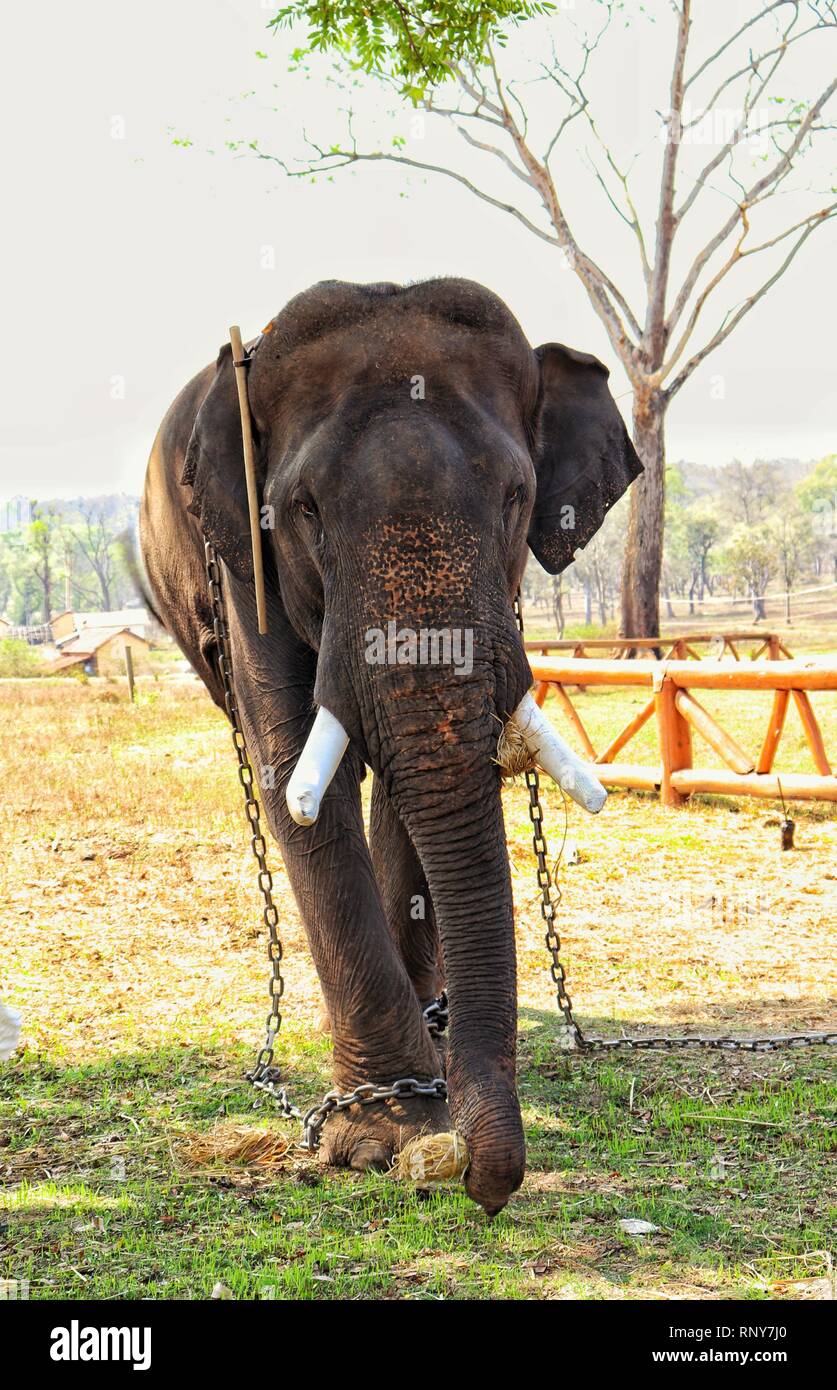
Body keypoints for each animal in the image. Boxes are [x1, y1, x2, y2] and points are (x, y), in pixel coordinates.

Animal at [140, 278, 641, 1214]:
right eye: (303, 511)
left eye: (517, 497)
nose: (484, 1185)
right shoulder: (245, 563)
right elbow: (294, 770)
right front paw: (391, 1136)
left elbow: (435, 777)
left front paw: (419, 1111)